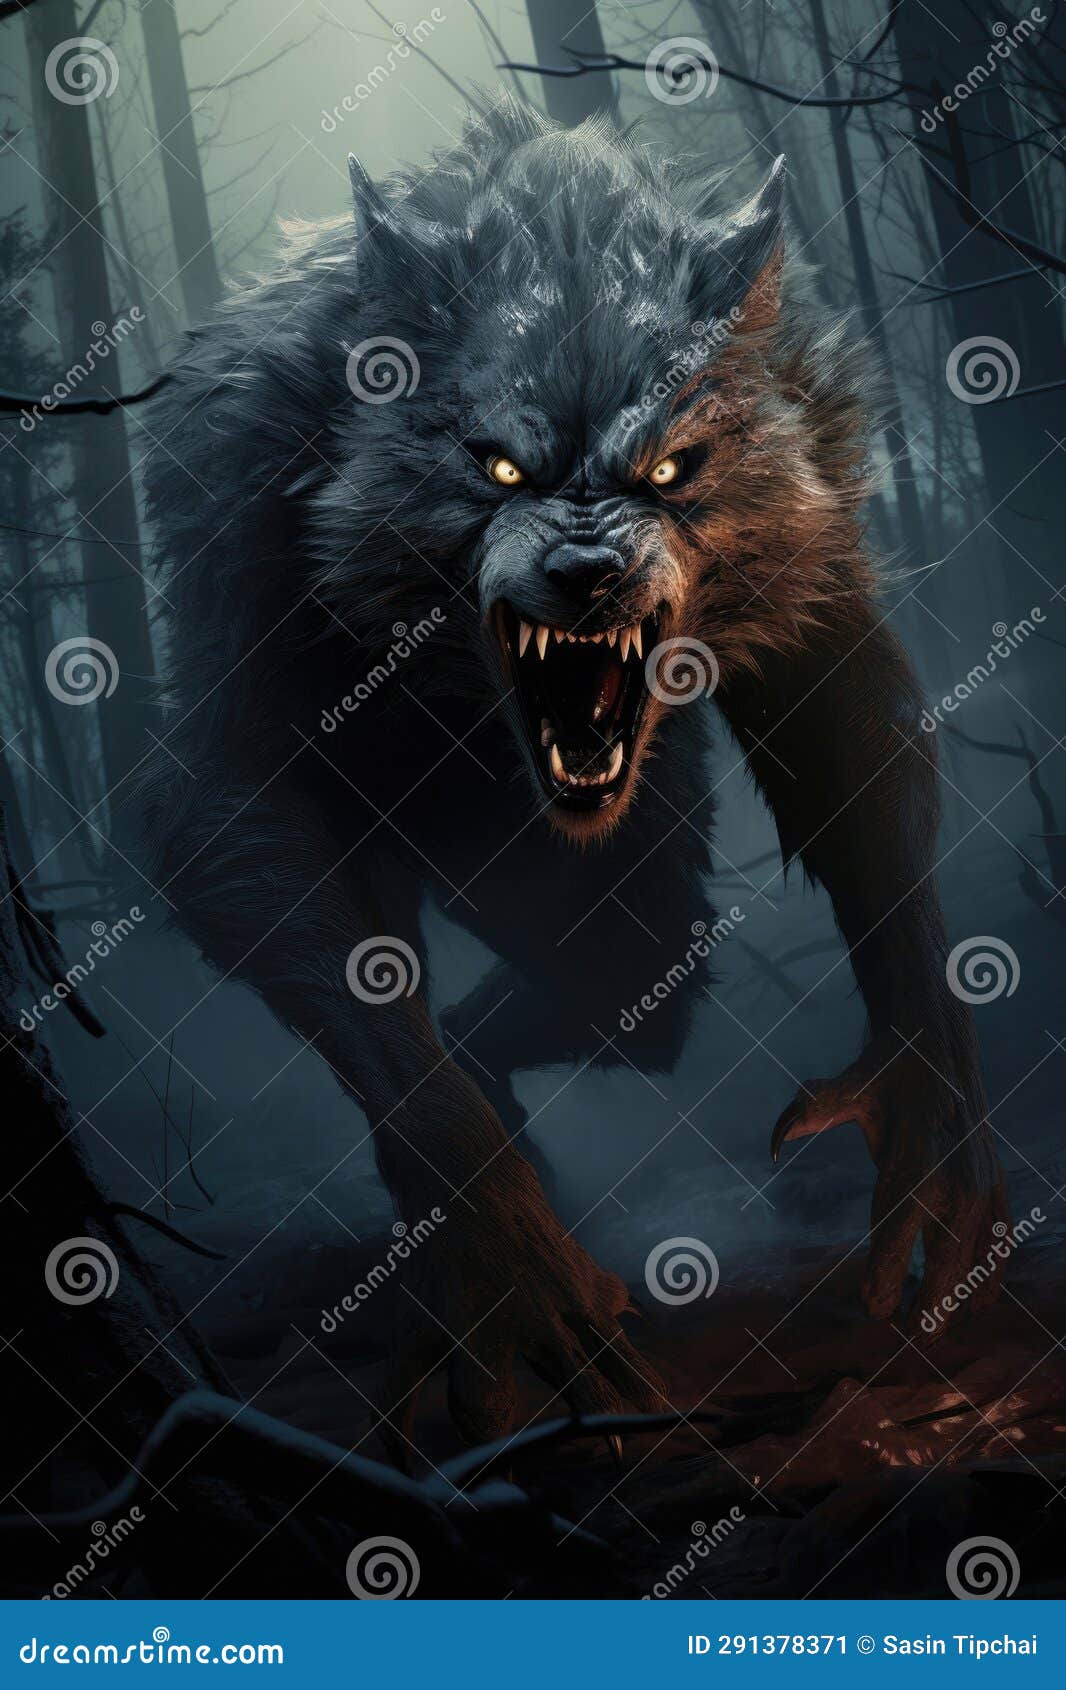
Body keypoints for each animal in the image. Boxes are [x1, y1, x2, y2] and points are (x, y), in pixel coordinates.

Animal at [146, 102, 1005, 1451]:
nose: (589, 571)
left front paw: (926, 1099)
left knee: (615, 976)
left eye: (670, 470)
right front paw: (497, 1249)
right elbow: (227, 796)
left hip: (623, 899)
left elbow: (841, 713)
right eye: (499, 468)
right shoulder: (237, 503)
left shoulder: (812, 459)